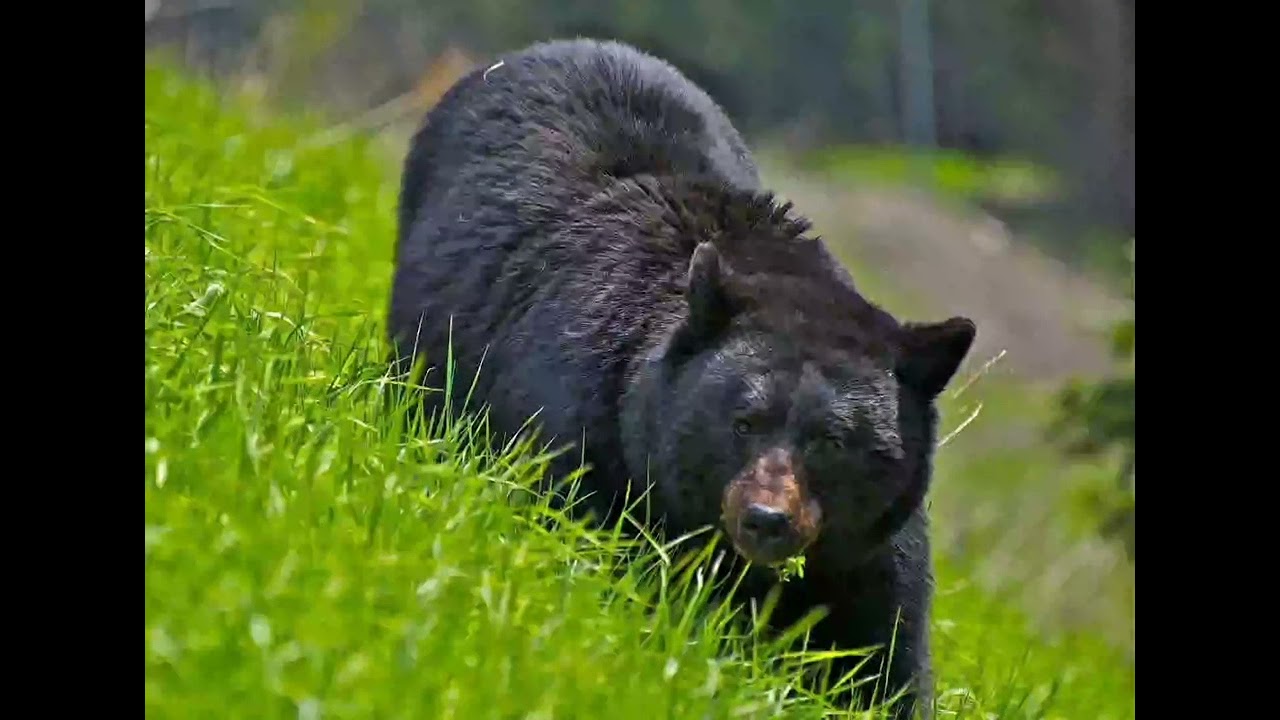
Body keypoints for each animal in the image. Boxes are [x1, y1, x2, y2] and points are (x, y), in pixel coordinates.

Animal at [387, 38, 977, 719]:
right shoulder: (583, 440)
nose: (767, 518)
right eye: (742, 421)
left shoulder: (872, 552)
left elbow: (884, 660)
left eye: (833, 440)